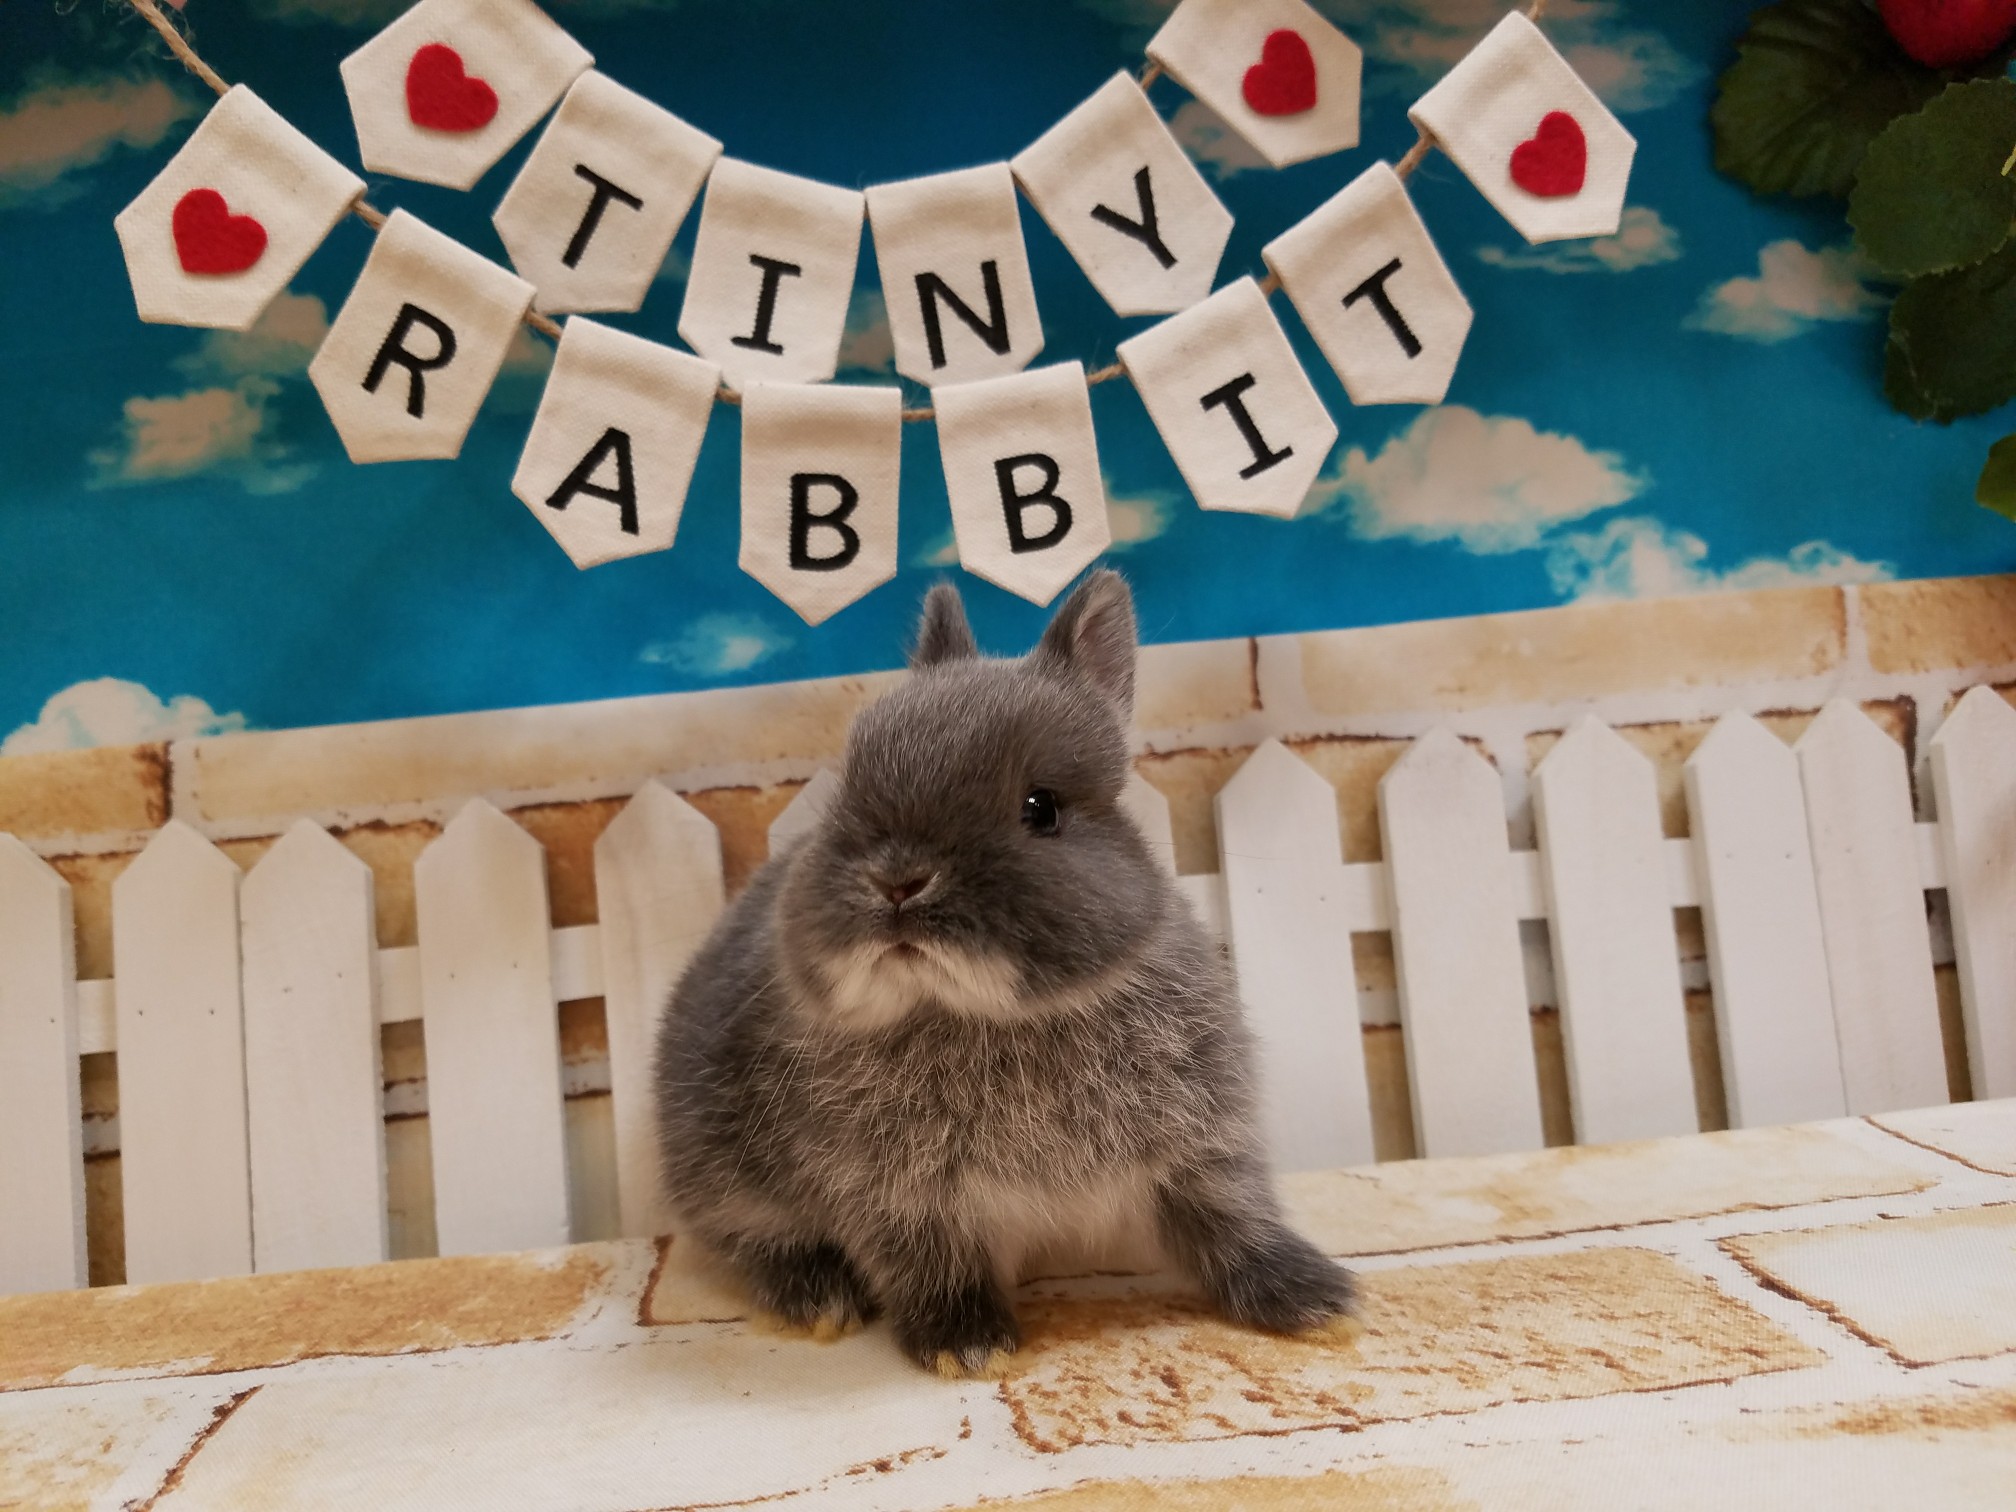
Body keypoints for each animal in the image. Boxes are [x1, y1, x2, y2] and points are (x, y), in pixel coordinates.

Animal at [652, 570, 1353, 1378]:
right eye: (845, 793)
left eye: (1040, 808)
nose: (897, 881)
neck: (990, 1015)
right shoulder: (898, 1198)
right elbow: (930, 1264)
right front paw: (966, 1346)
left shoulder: (1201, 1153)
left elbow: (1232, 1223)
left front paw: (1316, 1303)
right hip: (718, 1170)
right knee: (751, 1238)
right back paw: (818, 1301)